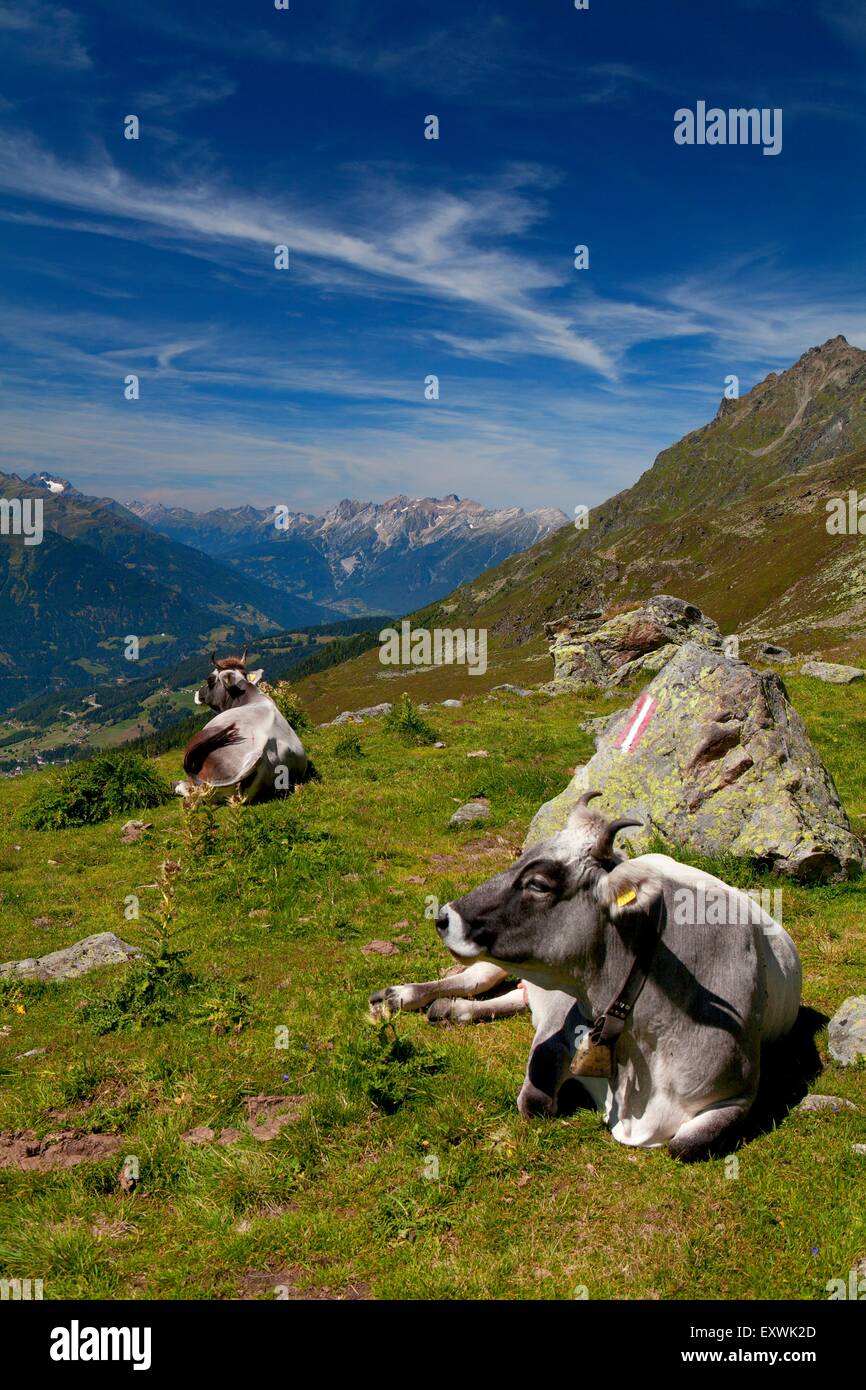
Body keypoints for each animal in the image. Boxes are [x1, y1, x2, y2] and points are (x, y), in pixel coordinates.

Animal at [370, 791, 802, 1159]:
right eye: (520, 858)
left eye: (539, 883)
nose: (444, 917)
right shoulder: (562, 1026)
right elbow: (534, 1101)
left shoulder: (738, 1094)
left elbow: (686, 1144)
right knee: (473, 979)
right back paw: (395, 997)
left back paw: (452, 1010)